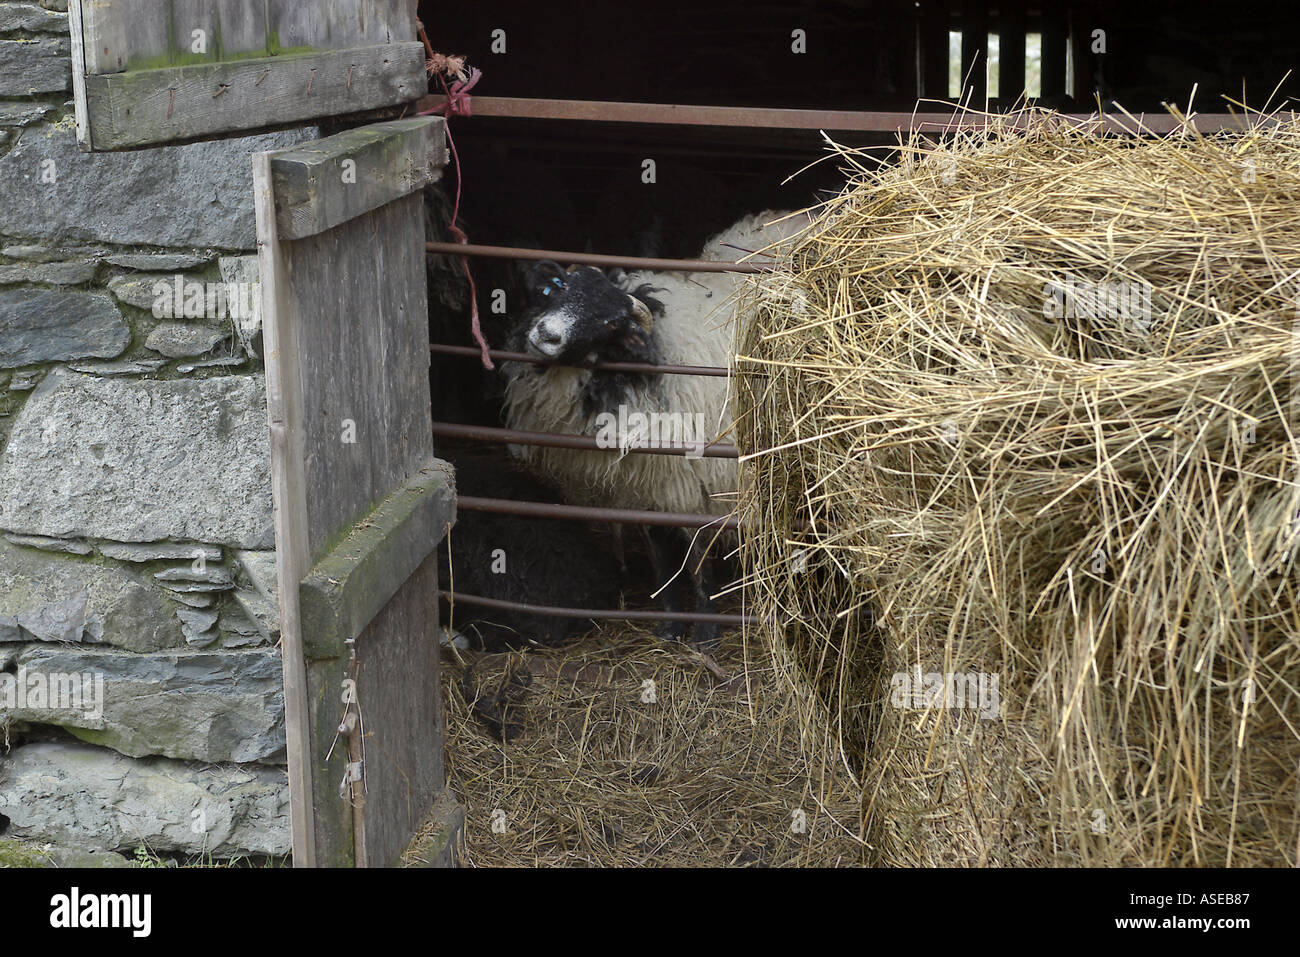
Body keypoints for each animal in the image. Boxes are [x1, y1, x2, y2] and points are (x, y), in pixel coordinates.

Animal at [500, 211, 805, 649]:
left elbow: (697, 562)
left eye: (610, 323)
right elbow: (662, 558)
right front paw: (670, 624)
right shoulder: (643, 483)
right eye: (561, 289)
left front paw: (706, 631)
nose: (547, 335)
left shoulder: (695, 483)